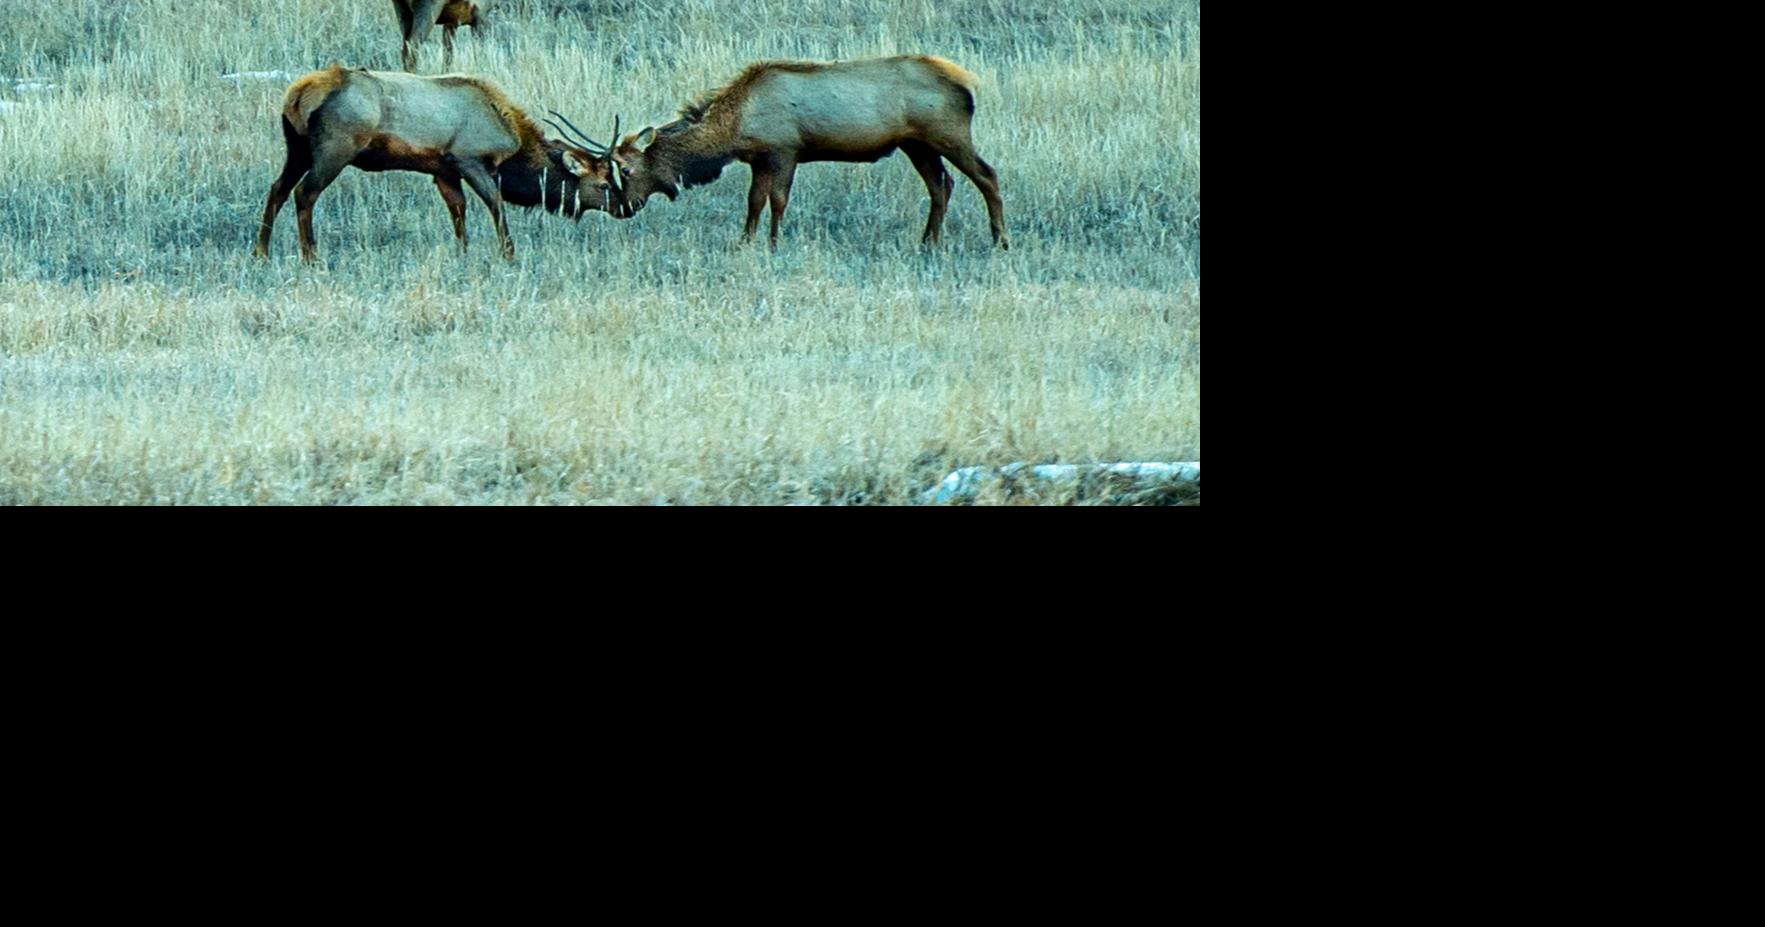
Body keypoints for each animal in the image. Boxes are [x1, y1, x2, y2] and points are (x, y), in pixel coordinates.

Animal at [254, 65, 630, 262]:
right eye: (603, 183)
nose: (626, 207)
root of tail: (298, 93)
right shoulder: (468, 159)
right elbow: (495, 204)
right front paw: (508, 253)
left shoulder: (442, 171)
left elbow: (458, 212)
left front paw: (463, 253)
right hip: (334, 149)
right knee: (304, 194)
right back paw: (310, 256)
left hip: (297, 149)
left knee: (277, 189)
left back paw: (262, 251)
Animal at [608, 55, 1007, 249]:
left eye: (625, 170)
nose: (623, 208)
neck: (734, 129)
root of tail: (968, 84)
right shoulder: (760, 160)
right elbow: (754, 201)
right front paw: (744, 242)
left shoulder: (785, 151)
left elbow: (778, 200)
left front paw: (773, 243)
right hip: (916, 144)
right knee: (941, 185)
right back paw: (928, 242)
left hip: (948, 135)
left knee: (987, 175)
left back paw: (999, 240)